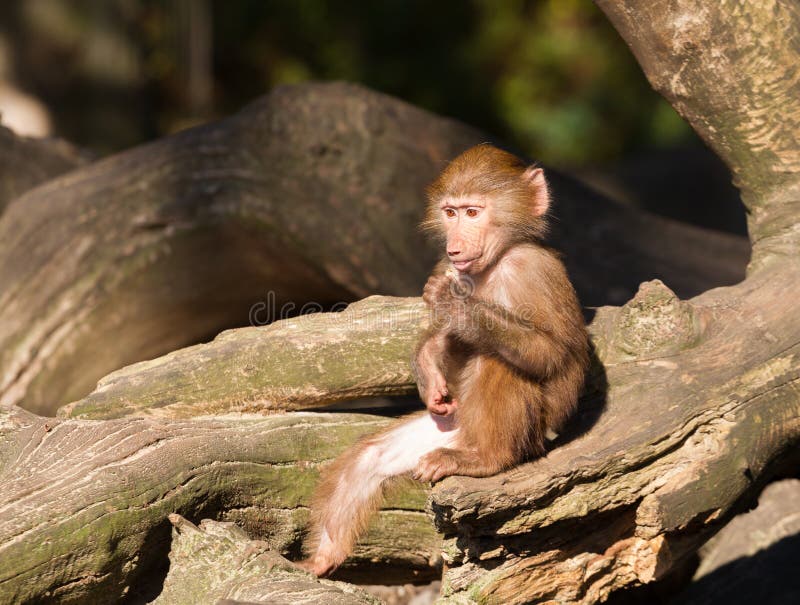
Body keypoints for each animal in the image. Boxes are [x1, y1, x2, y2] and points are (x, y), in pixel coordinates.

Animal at [299, 143, 589, 577]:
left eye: (473, 212)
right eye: (450, 213)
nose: (454, 245)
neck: (492, 264)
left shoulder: (531, 268)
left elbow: (550, 353)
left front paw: (461, 309)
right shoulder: (445, 267)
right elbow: (440, 339)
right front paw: (428, 370)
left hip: (532, 434)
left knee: (498, 361)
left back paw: (488, 459)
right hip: (448, 426)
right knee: (371, 457)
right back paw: (323, 557)